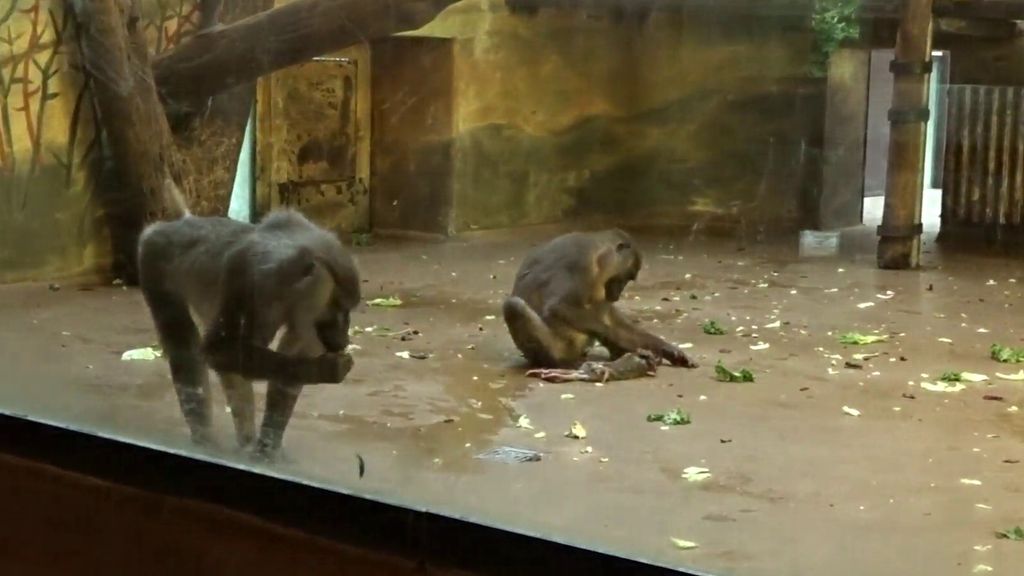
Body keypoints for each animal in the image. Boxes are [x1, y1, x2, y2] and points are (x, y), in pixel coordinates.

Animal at [137, 197, 360, 458]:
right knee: (183, 346)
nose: (344, 334)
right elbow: (220, 349)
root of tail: (171, 226)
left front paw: (268, 447)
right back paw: (205, 438)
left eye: (348, 310)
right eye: (338, 307)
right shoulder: (253, 281)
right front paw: (324, 369)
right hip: (154, 255)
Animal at [502, 229, 697, 370]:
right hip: (561, 345)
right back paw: (562, 363)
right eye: (626, 277)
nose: (618, 292)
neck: (599, 253)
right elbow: (558, 306)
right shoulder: (582, 263)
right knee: (514, 305)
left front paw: (669, 351)